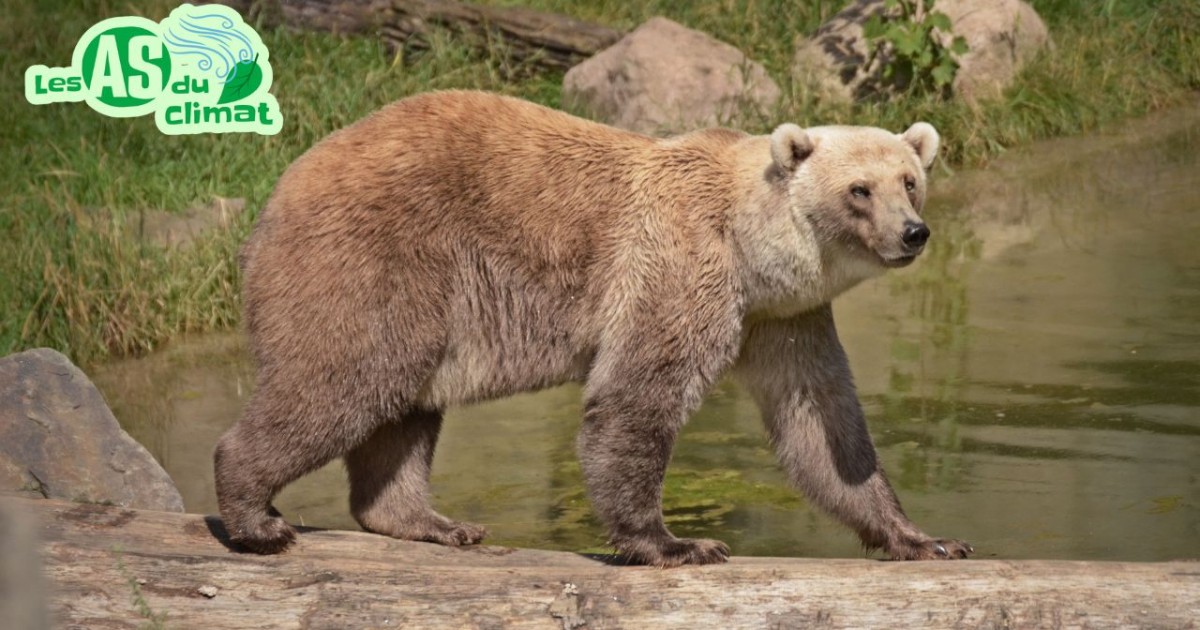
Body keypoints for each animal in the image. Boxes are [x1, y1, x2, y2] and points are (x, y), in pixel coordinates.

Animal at [214, 90, 973, 566]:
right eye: (859, 189)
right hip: (376, 257)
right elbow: (638, 396)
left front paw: (927, 538)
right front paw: (678, 544)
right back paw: (256, 517)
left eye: (910, 179)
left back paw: (433, 522)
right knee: (345, 378)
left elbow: (822, 423)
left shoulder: (783, 316)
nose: (912, 233)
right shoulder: (680, 267)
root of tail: (278, 193)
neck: (754, 249)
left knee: (405, 408)